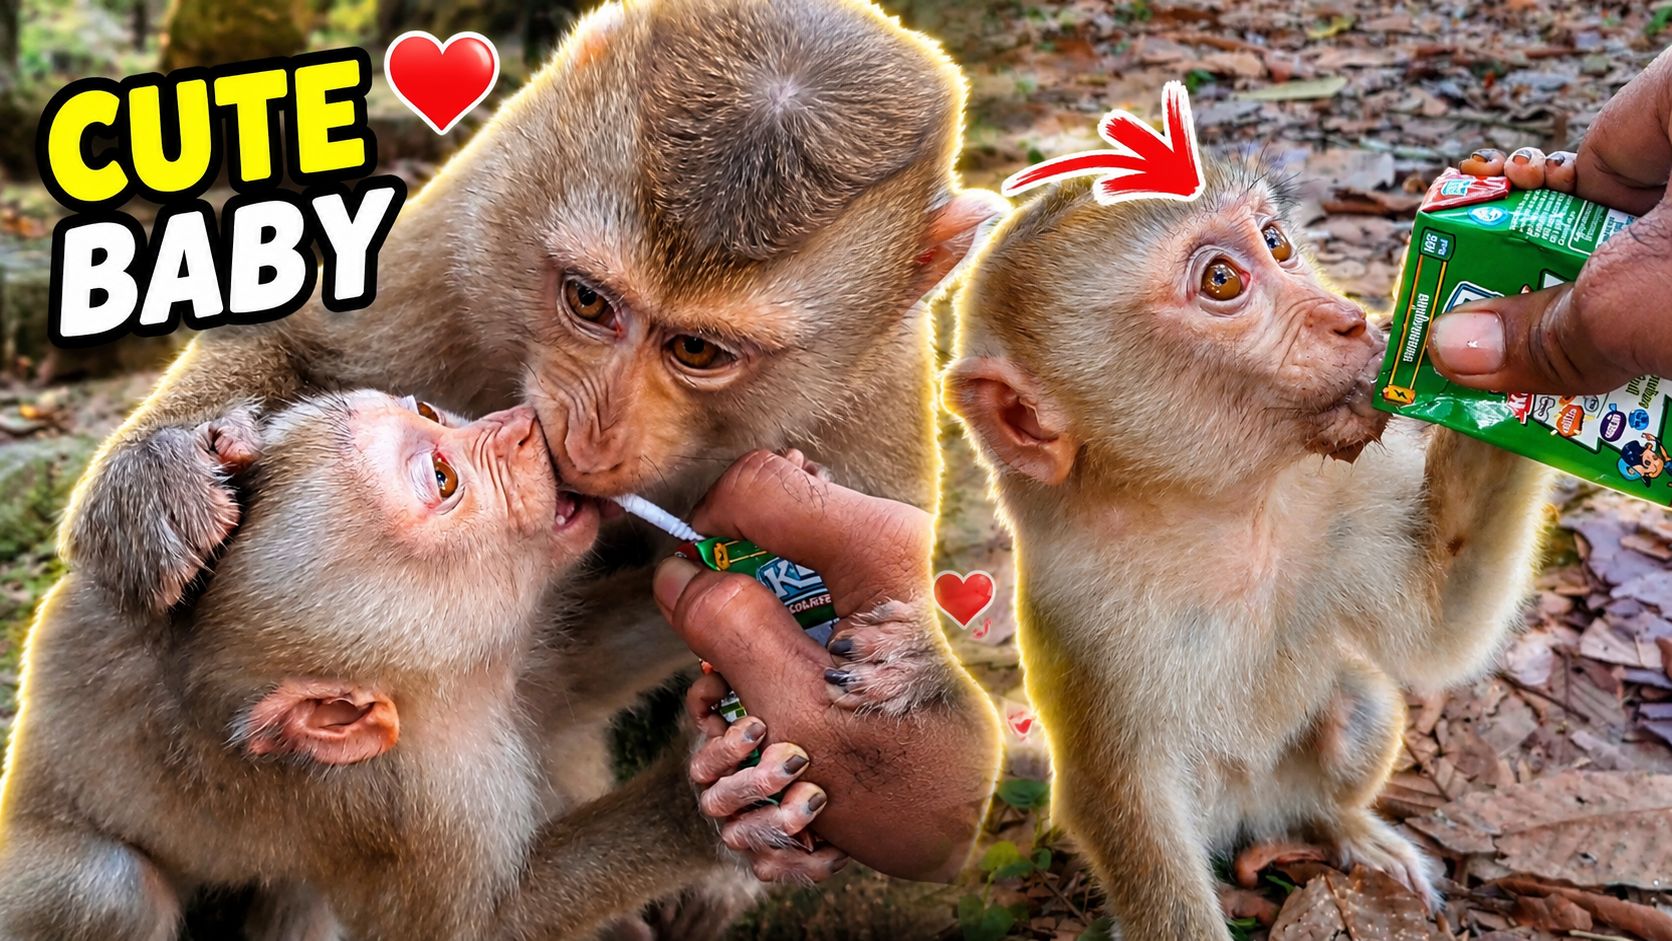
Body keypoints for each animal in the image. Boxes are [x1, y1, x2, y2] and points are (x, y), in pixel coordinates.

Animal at [0, 389, 831, 940]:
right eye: (443, 479)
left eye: (427, 412)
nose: (524, 424)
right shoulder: (410, 795)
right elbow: (468, 926)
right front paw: (711, 801)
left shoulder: (499, 644)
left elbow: (574, 679)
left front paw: (776, 507)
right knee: (109, 888)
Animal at [945, 161, 1551, 941]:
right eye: (1222, 280)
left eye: (1276, 241)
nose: (1349, 319)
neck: (1223, 515)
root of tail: (1255, 815)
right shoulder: (1084, 613)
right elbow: (1122, 802)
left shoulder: (1348, 500)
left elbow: (1439, 631)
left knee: (1359, 703)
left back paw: (1343, 822)